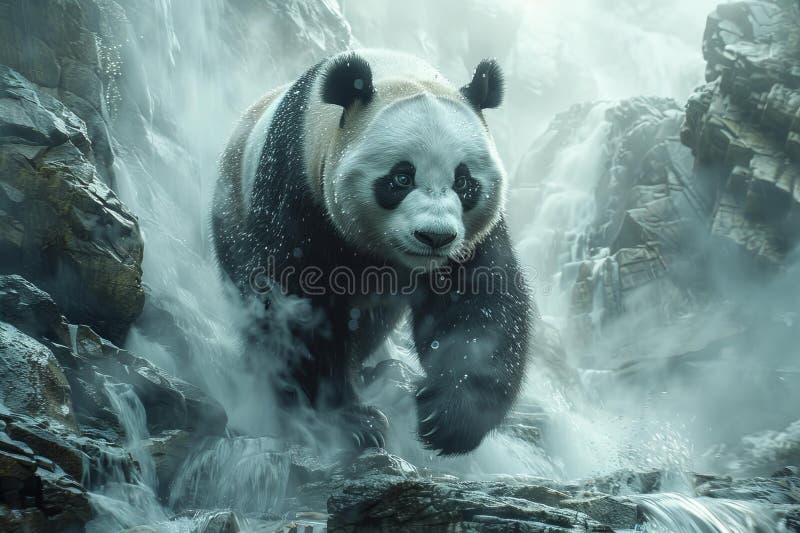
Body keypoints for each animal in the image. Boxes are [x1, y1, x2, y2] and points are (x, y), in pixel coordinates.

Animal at [212, 50, 533, 455]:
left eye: (463, 182)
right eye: (401, 178)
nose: (434, 237)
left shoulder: (471, 240)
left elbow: (481, 304)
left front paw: (447, 416)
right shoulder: (298, 187)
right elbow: (297, 307)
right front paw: (351, 420)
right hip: (232, 214)